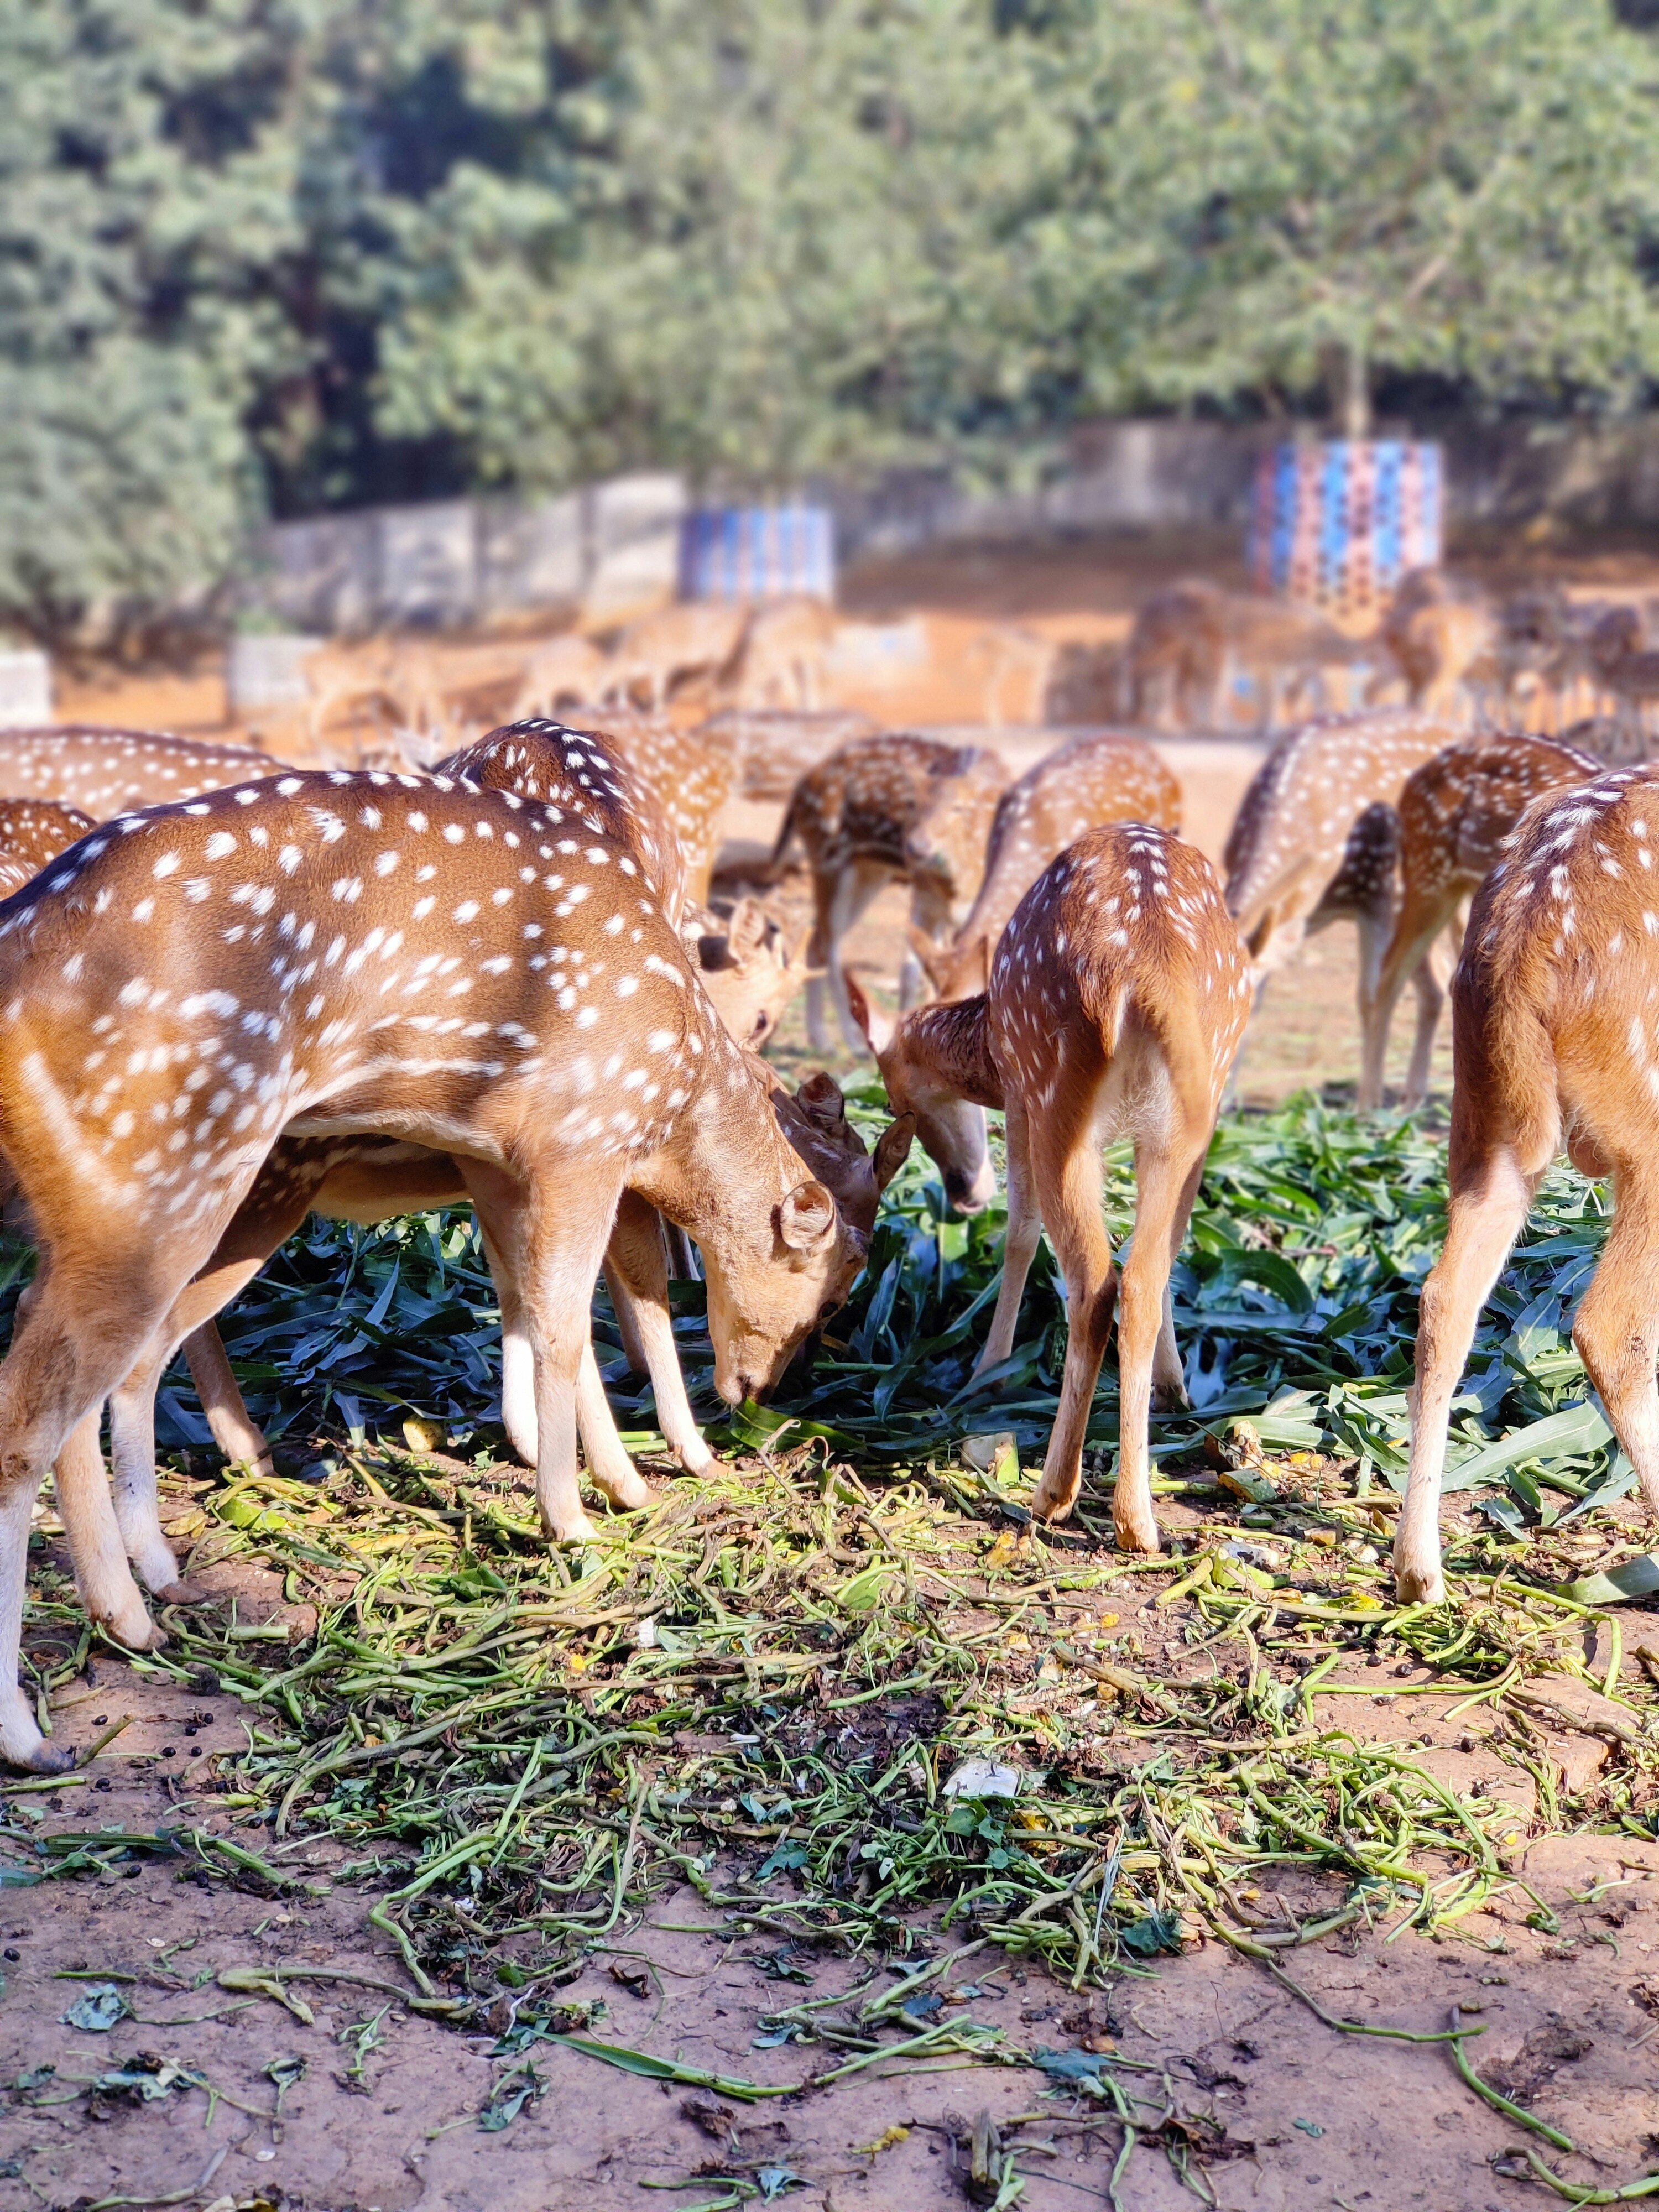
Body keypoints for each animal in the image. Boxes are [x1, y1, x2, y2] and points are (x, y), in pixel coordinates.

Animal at [0, 757, 873, 1770]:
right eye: (836, 1287)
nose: (759, 1390)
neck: (676, 1092)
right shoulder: (582, 1141)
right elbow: (578, 1325)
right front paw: (585, 1512)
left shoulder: (503, 1157)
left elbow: (538, 1311)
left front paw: (610, 1480)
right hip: (167, 1166)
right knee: (37, 1406)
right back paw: (38, 1724)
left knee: (110, 1370)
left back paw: (146, 1595)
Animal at [771, 734, 1010, 1052]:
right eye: (912, 805)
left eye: (959, 808)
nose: (916, 847)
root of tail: (800, 788)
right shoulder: (925, 894)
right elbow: (912, 972)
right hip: (828, 857)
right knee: (828, 941)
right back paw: (851, 1042)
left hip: (869, 871)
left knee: (816, 939)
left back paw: (822, 1039)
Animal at [847, 823, 1251, 1550]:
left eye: (894, 1094)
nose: (962, 1189)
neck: (985, 1040)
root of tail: (1148, 977)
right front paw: (1175, 1385)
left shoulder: (1016, 1094)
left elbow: (1018, 1233)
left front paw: (988, 1369)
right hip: (1193, 1112)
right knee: (1143, 1273)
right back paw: (1138, 1515)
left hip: (1055, 1089)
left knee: (1092, 1283)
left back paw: (1056, 1495)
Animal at [1395, 762, 1659, 1602]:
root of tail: (1522, 947)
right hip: (1646, 1124)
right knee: (1609, 1325)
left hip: (1485, 1116)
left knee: (1445, 1298)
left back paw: (1419, 1575)